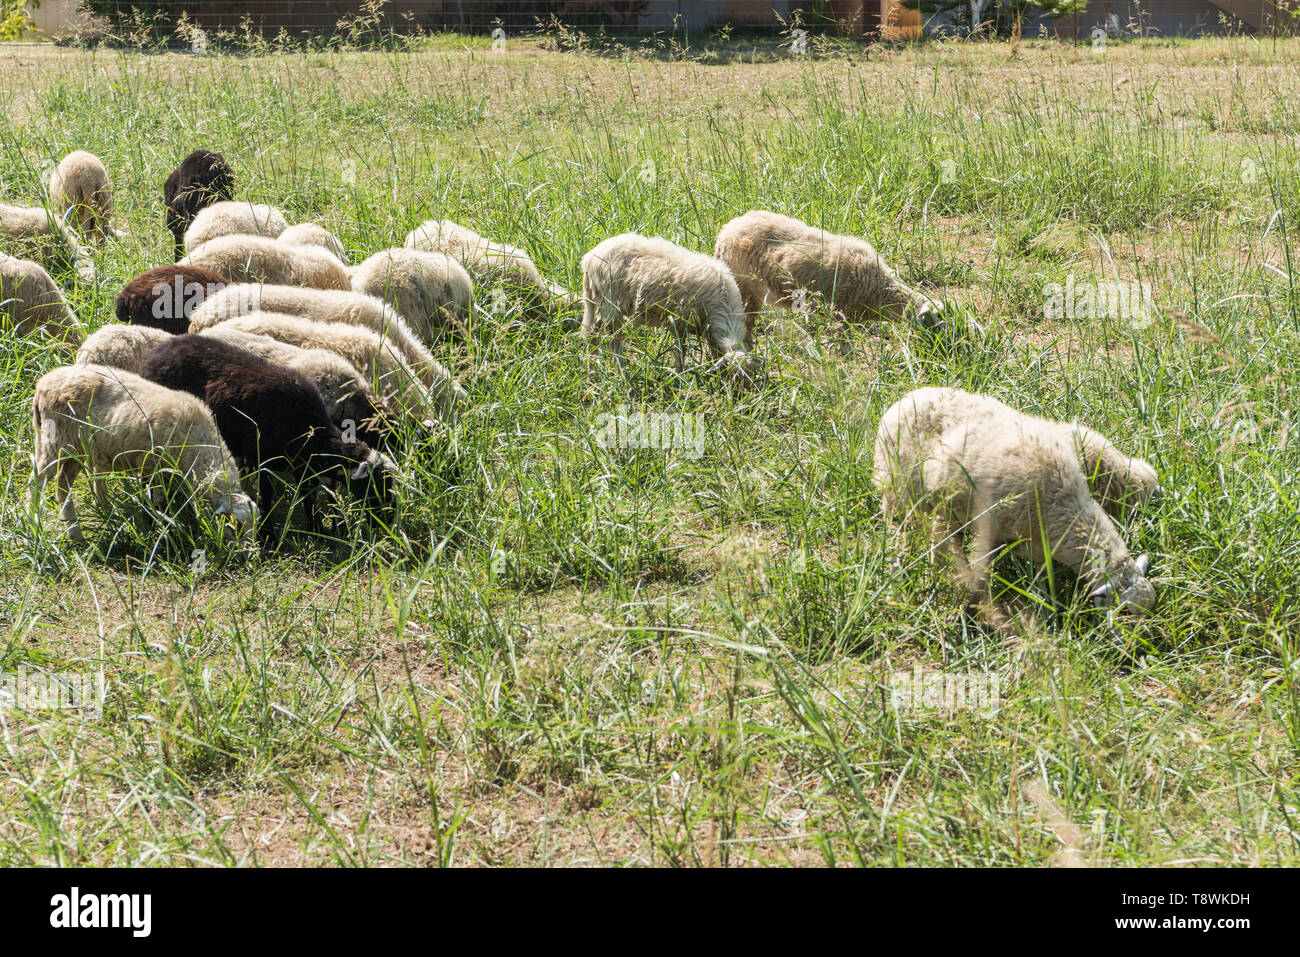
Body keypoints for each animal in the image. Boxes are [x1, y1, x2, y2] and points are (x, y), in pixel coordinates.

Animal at [32, 363, 256, 542]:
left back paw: (78, 530)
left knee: (63, 484)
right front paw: (158, 530)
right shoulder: (150, 463)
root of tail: (43, 383)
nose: (248, 555)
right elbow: (155, 499)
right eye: (236, 527)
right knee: (38, 480)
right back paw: (35, 524)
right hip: (56, 441)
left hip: (74, 447)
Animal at [579, 232, 759, 377]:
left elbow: (713, 351)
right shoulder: (678, 322)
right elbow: (681, 350)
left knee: (593, 331)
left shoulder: (707, 328)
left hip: (601, 303)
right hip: (611, 304)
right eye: (734, 376)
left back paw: (591, 365)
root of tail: (588, 259)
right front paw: (679, 374)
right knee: (613, 340)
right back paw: (622, 371)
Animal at [872, 386, 1156, 616]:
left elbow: (1041, 581)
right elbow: (983, 572)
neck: (1062, 504)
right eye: (1125, 611)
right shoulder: (991, 530)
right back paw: (902, 572)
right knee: (904, 532)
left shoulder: (1038, 545)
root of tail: (906, 397)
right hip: (899, 491)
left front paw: (1046, 611)